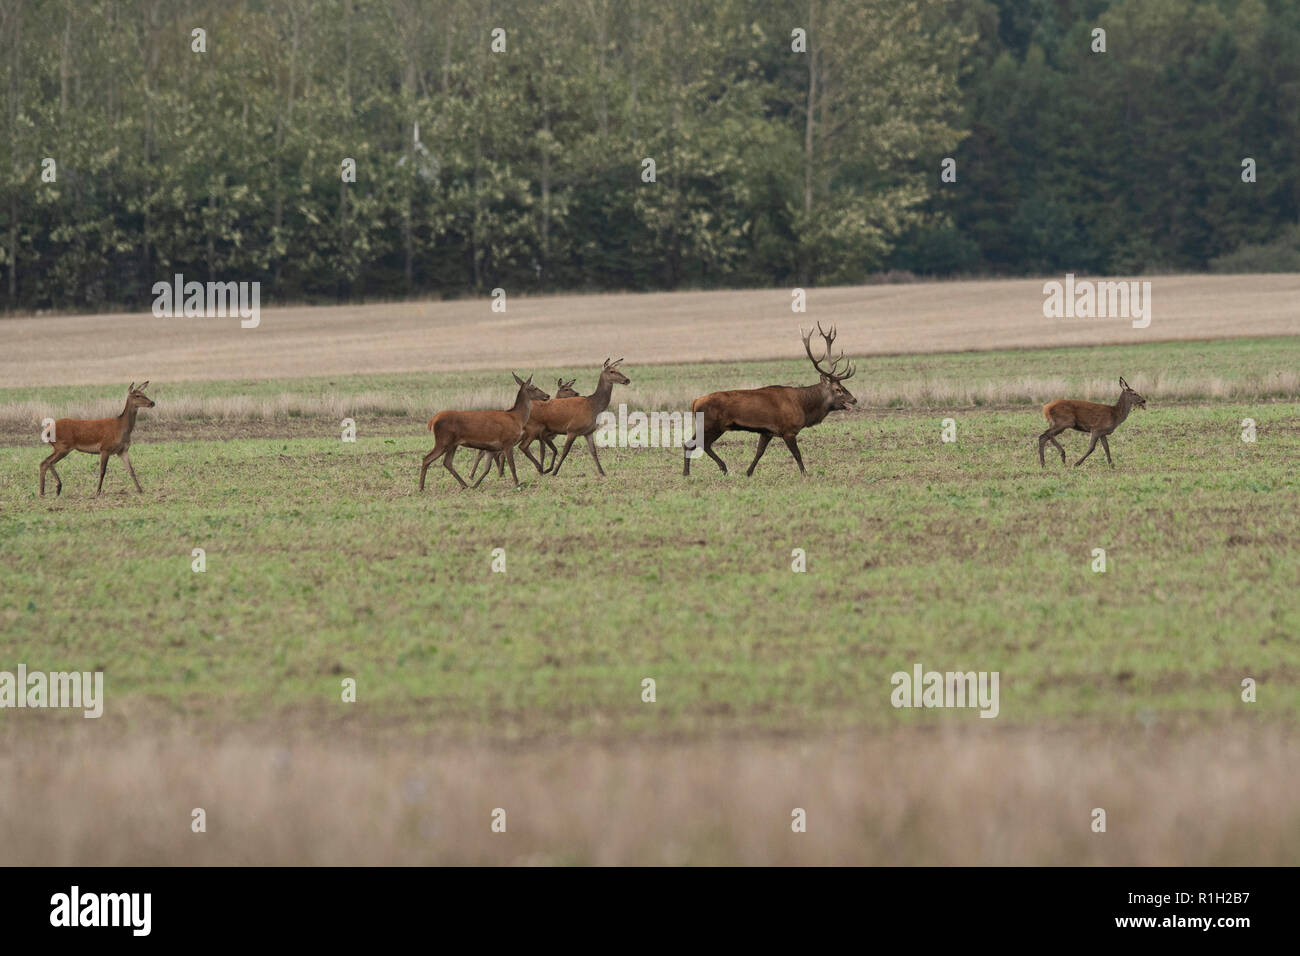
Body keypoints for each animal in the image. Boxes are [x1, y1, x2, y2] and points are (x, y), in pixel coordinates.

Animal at [419, 373, 550, 490]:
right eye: (534, 387)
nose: (547, 395)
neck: (516, 417)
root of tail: (432, 421)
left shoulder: (491, 448)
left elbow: (487, 468)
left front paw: (475, 485)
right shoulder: (507, 442)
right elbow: (512, 466)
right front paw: (518, 484)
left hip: (452, 444)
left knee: (447, 462)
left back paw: (464, 485)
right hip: (443, 441)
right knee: (427, 459)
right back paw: (421, 487)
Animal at [684, 324, 856, 477]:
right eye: (838, 389)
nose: (854, 399)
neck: (804, 406)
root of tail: (695, 402)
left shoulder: (767, 431)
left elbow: (759, 452)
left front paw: (748, 472)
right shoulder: (788, 430)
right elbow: (797, 454)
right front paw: (805, 474)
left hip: (709, 425)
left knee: (690, 443)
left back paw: (688, 473)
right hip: (712, 424)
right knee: (701, 444)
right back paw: (721, 468)